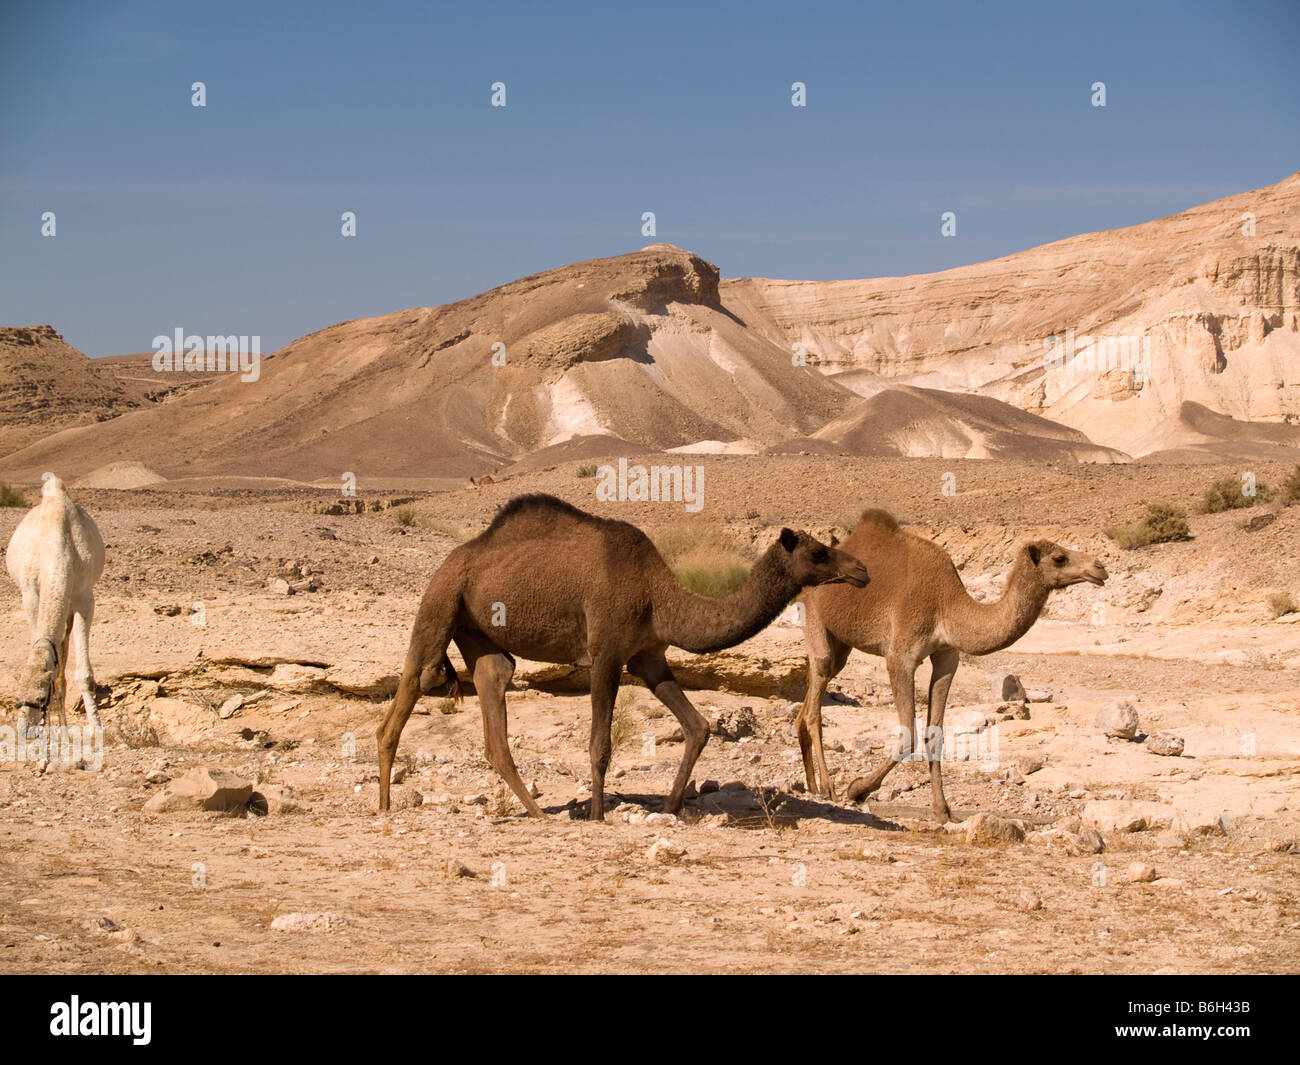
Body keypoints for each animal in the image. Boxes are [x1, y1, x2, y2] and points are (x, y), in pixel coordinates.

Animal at [6, 476, 106, 746]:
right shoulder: (31, 595)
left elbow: (85, 675)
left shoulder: (84, 599)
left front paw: (96, 730)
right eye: (17, 696)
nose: (24, 730)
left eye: (42, 697)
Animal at [377, 494, 868, 819]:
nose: (861, 570)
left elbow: (698, 726)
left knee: (494, 683)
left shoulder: (647, 656)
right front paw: (597, 816)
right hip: (441, 599)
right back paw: (383, 805)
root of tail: (457, 554)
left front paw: (671, 806)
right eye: (818, 552)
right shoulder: (607, 652)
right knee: (416, 680)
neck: (659, 596)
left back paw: (537, 812)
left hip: (476, 629)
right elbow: (601, 744)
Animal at [795, 508, 1107, 823]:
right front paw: (858, 789)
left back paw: (812, 782)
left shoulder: (947, 656)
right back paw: (829, 787)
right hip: (814, 618)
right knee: (816, 698)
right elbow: (909, 733)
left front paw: (943, 811)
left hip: (841, 642)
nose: (1100, 567)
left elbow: (936, 734)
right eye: (1059, 558)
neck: (946, 604)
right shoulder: (900, 657)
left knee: (813, 690)